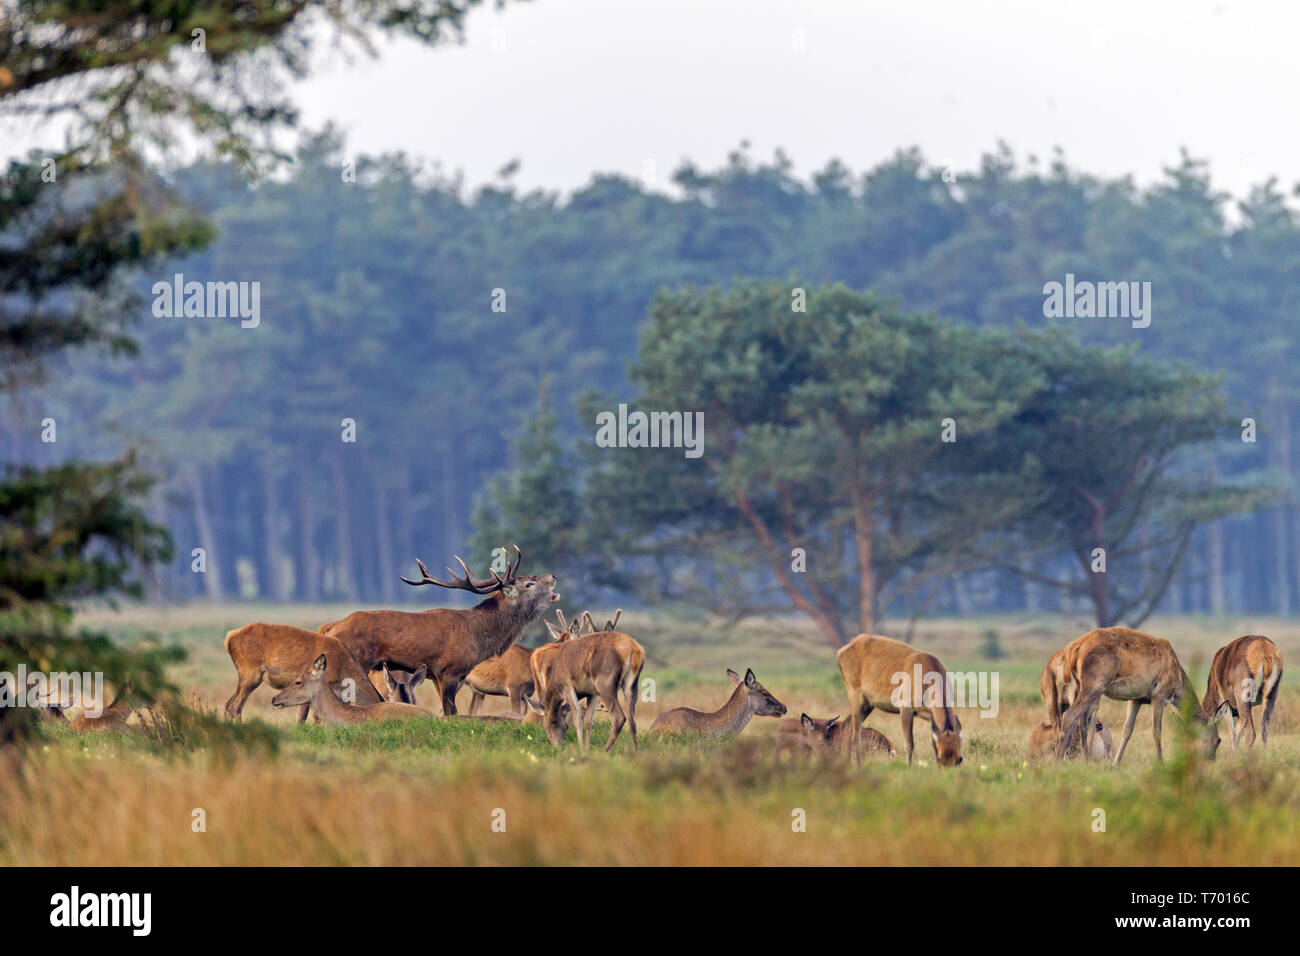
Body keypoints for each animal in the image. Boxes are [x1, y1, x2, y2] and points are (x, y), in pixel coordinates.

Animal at [319, 546, 559, 716]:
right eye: (529, 583)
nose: (553, 576)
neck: (479, 636)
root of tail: (331, 628)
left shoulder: (438, 675)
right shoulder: (449, 671)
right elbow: (451, 712)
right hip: (354, 660)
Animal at [530, 609, 644, 752]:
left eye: (552, 723)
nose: (556, 746)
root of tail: (635, 650)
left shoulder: (567, 686)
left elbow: (577, 717)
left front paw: (581, 748)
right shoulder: (592, 692)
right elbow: (588, 721)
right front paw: (587, 748)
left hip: (605, 683)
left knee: (619, 717)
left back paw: (605, 750)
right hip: (631, 683)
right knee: (632, 719)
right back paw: (636, 751)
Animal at [836, 634, 964, 767]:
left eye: (959, 759)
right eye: (941, 758)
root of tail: (840, 652)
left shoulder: (927, 713)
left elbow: (933, 742)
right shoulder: (905, 706)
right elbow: (909, 744)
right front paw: (908, 767)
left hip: (868, 704)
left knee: (846, 726)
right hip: (854, 693)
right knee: (855, 737)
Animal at [1055, 627, 1218, 764]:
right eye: (1218, 740)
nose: (1211, 760)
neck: (1177, 680)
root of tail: (1072, 650)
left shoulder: (1136, 699)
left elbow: (1127, 730)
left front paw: (1116, 763)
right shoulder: (1159, 695)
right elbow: (1156, 731)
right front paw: (1160, 762)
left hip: (1078, 687)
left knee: (1083, 723)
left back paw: (1086, 761)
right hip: (1094, 685)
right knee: (1069, 716)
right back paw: (1058, 760)